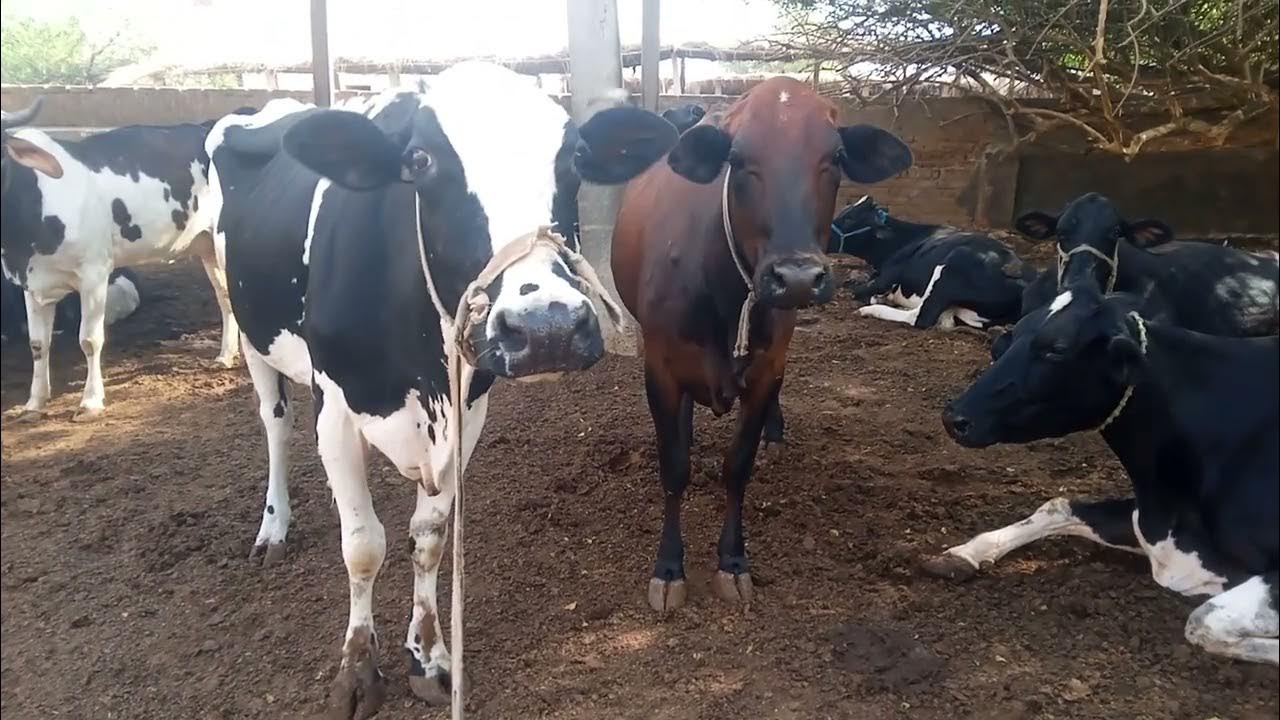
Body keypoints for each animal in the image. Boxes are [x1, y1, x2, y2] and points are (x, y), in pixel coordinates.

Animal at [205, 62, 680, 715]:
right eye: (420, 160)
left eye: (577, 157)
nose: (548, 328)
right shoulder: (336, 408)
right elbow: (363, 545)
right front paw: (358, 670)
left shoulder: (468, 407)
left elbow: (427, 537)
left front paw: (428, 656)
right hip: (251, 330)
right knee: (274, 421)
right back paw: (273, 526)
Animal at [612, 77, 912, 613]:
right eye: (738, 157)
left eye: (835, 156)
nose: (797, 278)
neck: (728, 296)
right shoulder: (660, 367)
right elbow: (674, 468)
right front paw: (668, 569)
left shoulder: (768, 364)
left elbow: (738, 466)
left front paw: (732, 562)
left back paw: (776, 433)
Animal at [830, 195, 1037, 329]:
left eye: (849, 218)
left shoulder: (886, 277)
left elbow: (859, 291)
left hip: (952, 266)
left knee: (921, 317)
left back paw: (870, 310)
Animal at [930, 283, 1278, 665]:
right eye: (1011, 337)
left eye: (1056, 350)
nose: (955, 417)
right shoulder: (1148, 523)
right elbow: (1057, 506)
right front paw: (964, 553)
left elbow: (1203, 621)